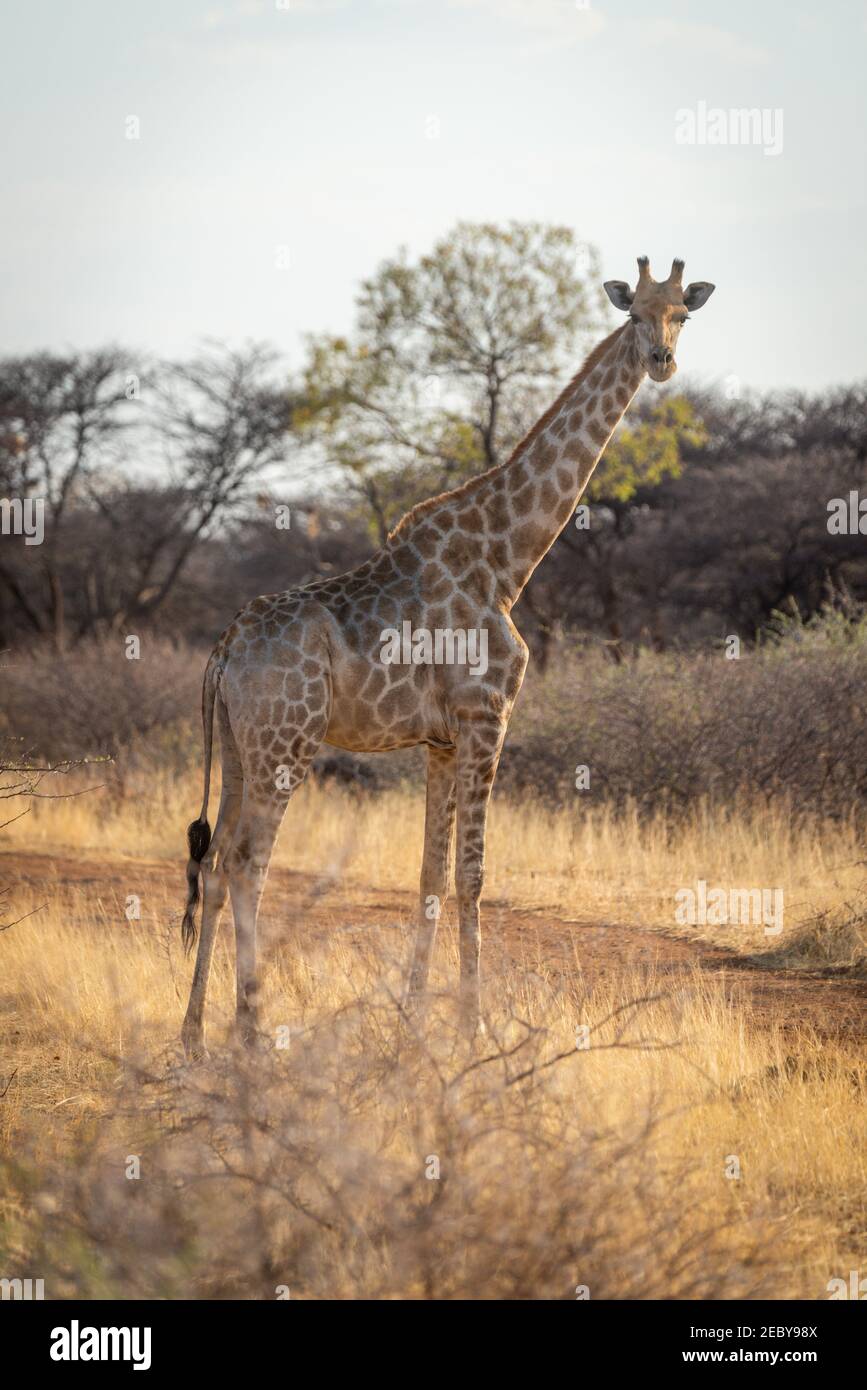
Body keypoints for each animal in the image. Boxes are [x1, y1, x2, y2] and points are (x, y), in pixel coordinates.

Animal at [179, 256, 715, 1055]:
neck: (508, 557)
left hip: (241, 747)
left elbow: (429, 875)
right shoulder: (486, 714)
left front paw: (413, 1021)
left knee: (212, 865)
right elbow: (473, 874)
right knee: (248, 863)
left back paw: (193, 1036)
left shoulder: (439, 738)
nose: (661, 361)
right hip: (286, 741)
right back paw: (251, 1028)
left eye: (682, 312)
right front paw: (473, 1025)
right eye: (634, 314)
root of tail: (225, 648)